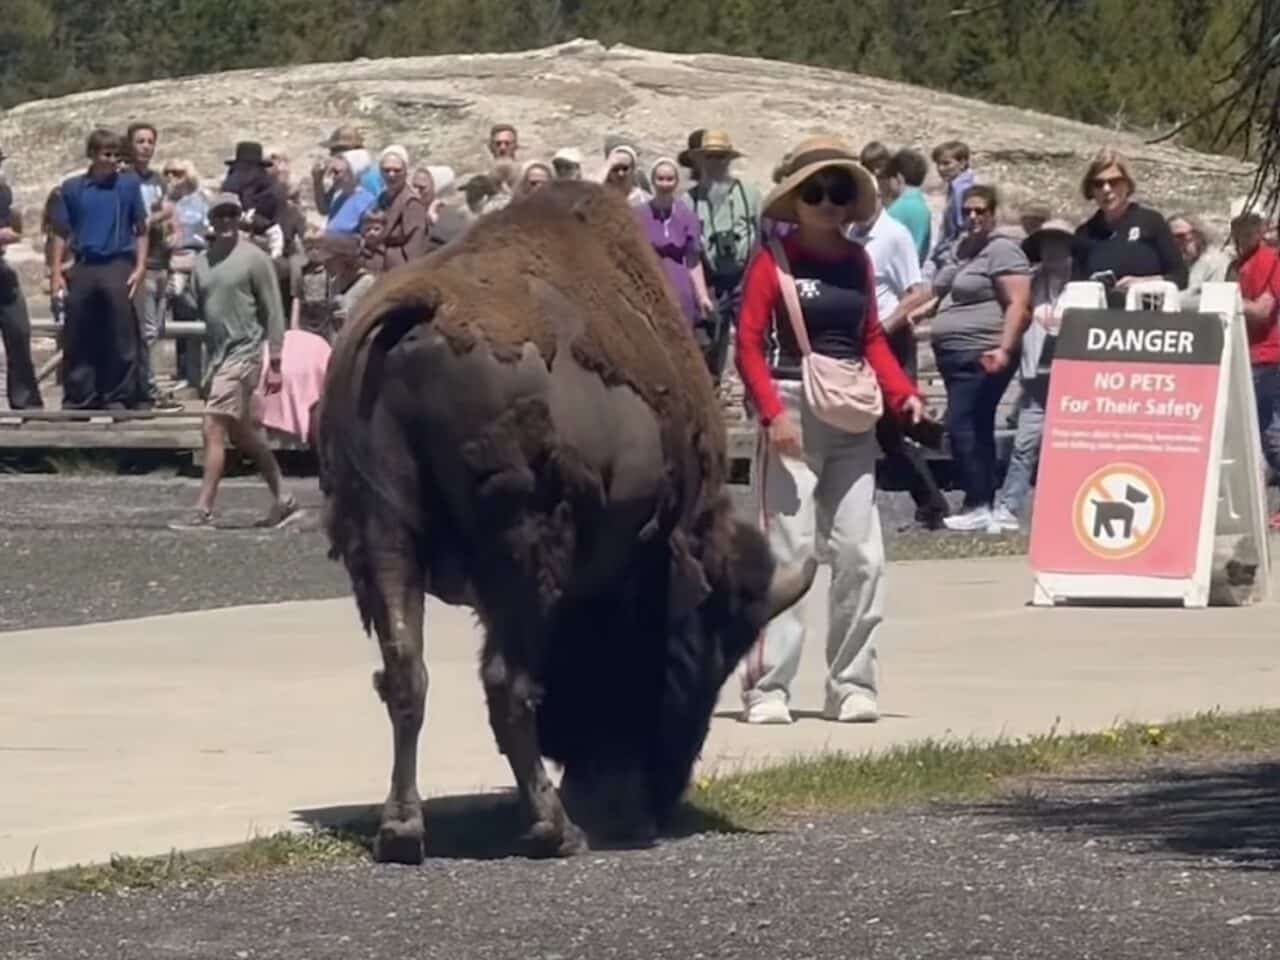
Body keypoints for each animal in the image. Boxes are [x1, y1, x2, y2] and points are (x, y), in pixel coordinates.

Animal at [314, 180, 815, 864]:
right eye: (709, 652)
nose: (666, 793)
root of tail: (422, 309)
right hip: (520, 548)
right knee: (506, 684)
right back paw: (556, 829)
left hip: (383, 533)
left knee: (404, 672)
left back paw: (402, 830)